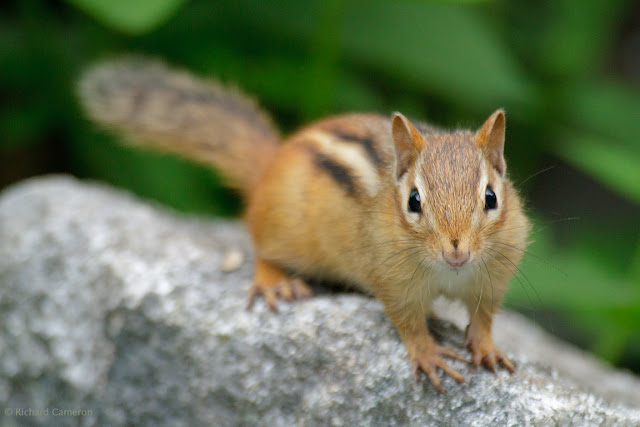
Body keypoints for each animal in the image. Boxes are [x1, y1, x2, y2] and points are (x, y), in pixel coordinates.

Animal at [78, 58, 530, 393]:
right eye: (414, 202)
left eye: (491, 198)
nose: (457, 250)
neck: (450, 274)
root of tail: (268, 171)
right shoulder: (393, 279)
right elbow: (408, 322)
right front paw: (429, 354)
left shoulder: (492, 278)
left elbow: (484, 317)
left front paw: (488, 349)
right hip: (285, 233)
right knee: (262, 250)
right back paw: (274, 282)